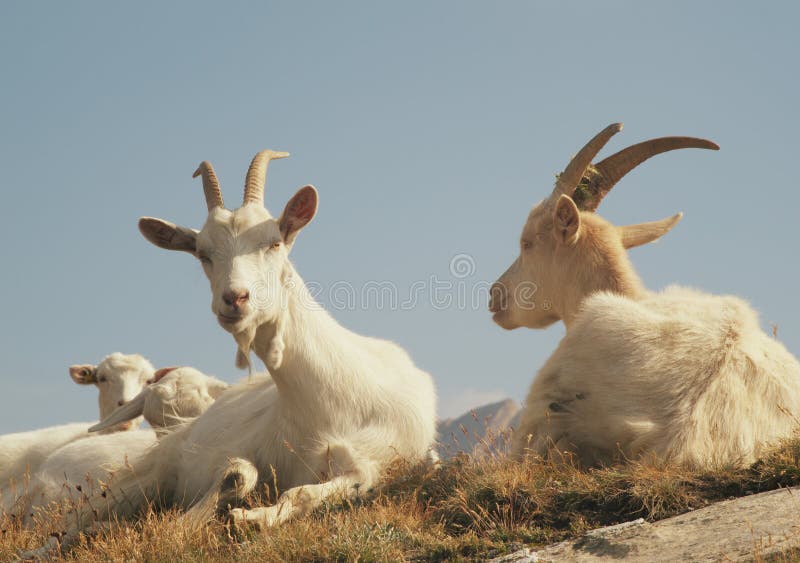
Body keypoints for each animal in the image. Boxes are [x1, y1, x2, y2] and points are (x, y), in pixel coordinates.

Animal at [22, 151, 437, 558]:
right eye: (202, 253)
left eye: (273, 242)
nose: (234, 299)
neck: (339, 395)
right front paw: (243, 516)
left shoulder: (378, 463)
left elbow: (305, 492)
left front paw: (253, 517)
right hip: (155, 468)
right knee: (78, 520)